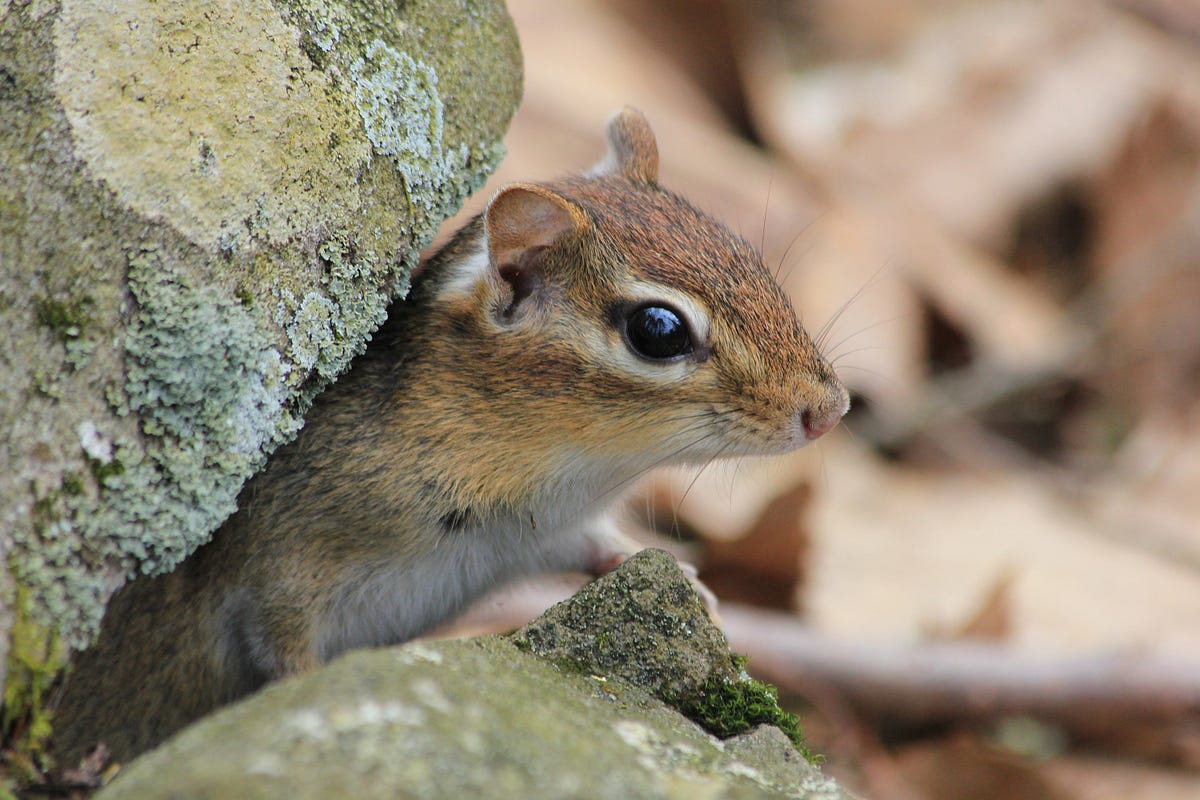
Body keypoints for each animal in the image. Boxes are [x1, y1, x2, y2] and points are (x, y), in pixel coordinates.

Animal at [51, 108, 849, 764]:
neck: (550, 472)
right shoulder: (277, 567)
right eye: (658, 330)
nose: (830, 409)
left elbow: (594, 546)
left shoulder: (542, 535)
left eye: (744, 252)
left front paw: (684, 580)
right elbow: (284, 646)